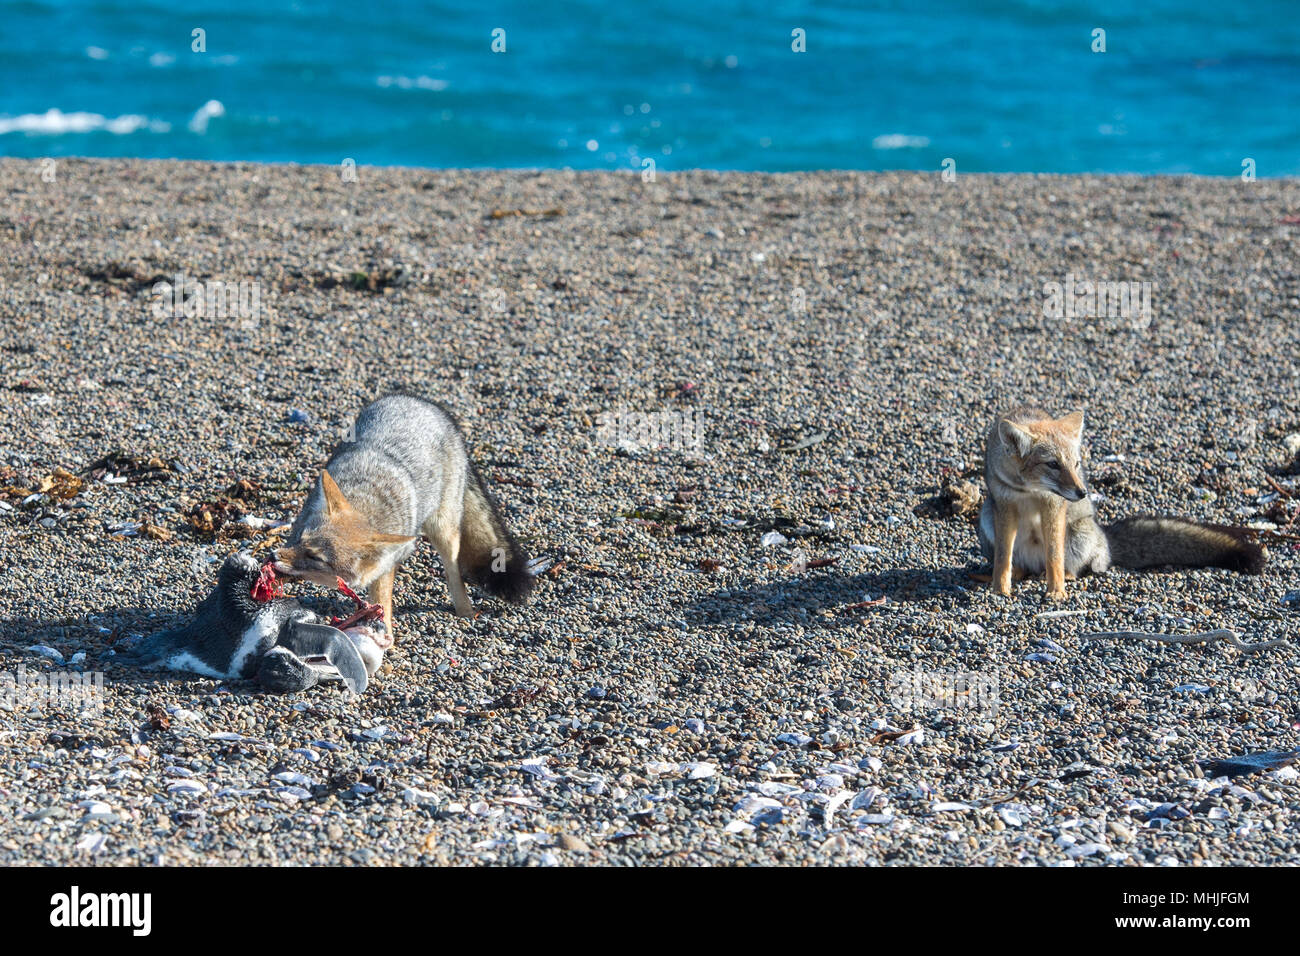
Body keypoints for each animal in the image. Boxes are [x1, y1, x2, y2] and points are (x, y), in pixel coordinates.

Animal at [274, 393, 534, 635]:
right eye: (300, 538)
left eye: (315, 557)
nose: (272, 555)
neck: (365, 500)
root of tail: (423, 403)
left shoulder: (386, 566)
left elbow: (381, 600)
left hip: (443, 533)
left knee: (453, 571)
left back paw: (465, 610)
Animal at [977, 405, 1266, 601]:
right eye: (1053, 465)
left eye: (1076, 464)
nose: (1082, 493)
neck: (1029, 490)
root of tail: (1105, 536)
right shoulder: (1005, 505)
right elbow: (1003, 556)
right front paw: (1000, 588)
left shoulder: (1054, 505)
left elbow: (1054, 555)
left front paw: (1056, 590)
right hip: (987, 517)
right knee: (1020, 564)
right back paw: (1012, 573)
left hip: (1077, 535)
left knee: (1084, 565)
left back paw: (1067, 575)